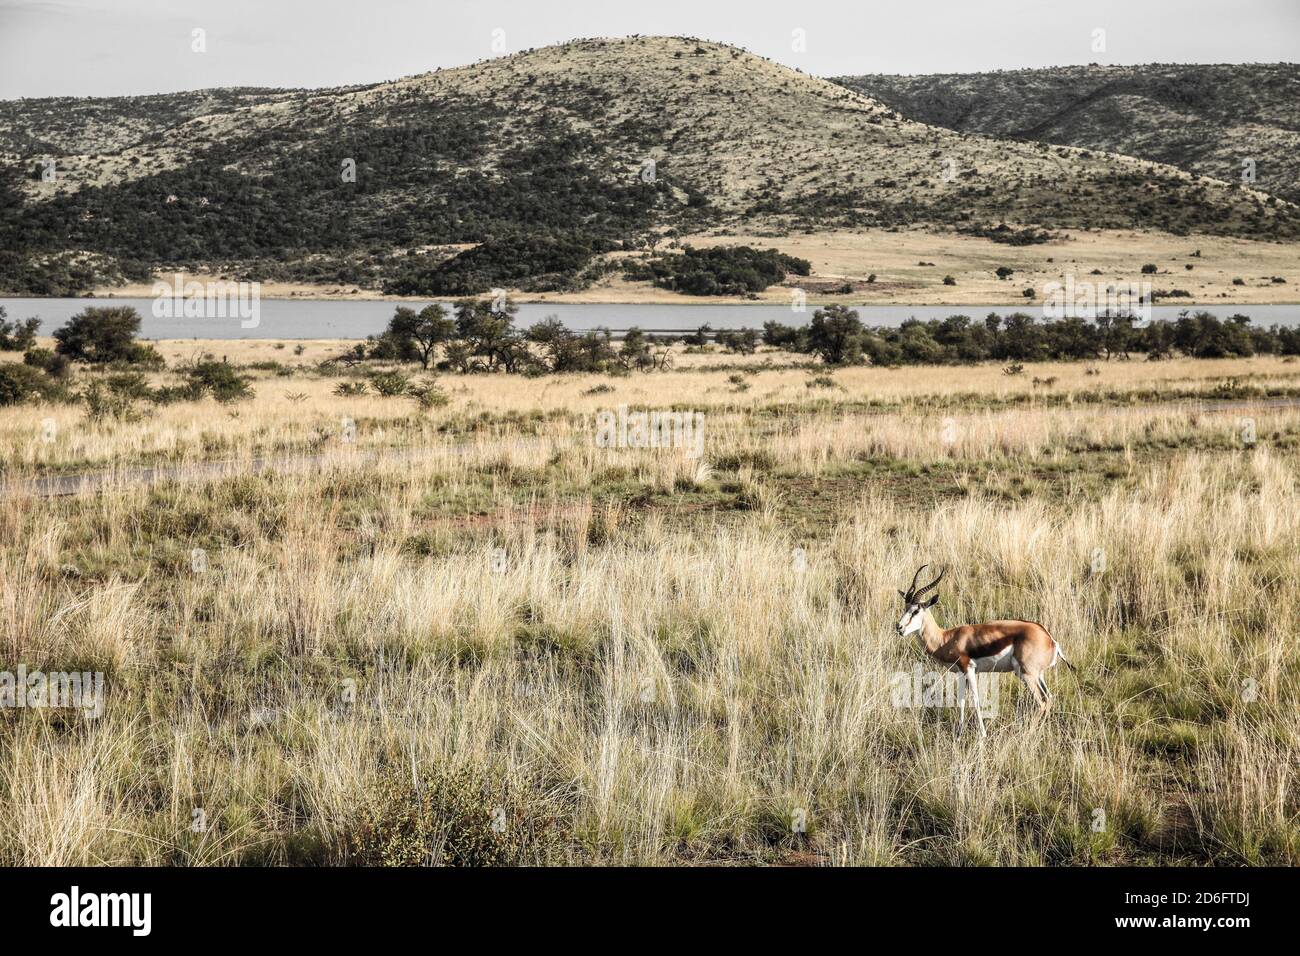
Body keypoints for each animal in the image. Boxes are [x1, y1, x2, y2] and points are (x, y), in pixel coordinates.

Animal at [895, 565, 1073, 737]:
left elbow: (975, 700)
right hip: (1037, 675)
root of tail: (1050, 639)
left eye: (916, 611)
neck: (946, 638)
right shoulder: (960, 673)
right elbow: (961, 701)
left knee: (1041, 701)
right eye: (905, 608)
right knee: (1049, 698)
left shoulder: (969, 669)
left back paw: (1027, 734)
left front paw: (982, 735)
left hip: (1027, 675)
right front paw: (958, 735)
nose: (899, 627)